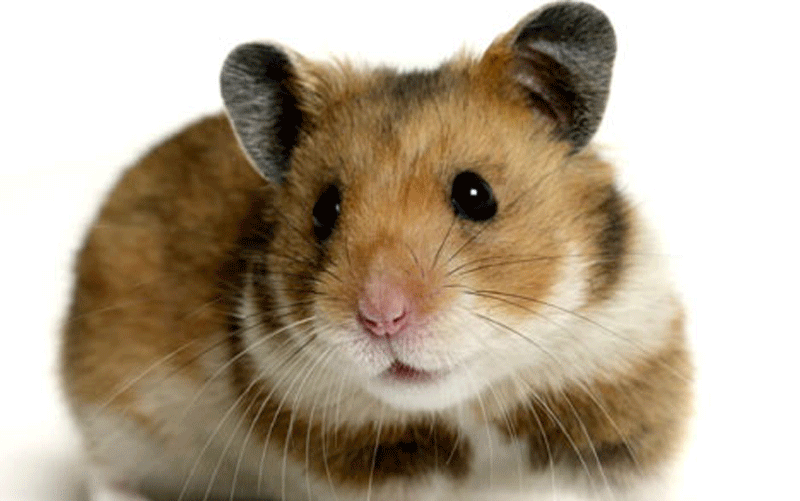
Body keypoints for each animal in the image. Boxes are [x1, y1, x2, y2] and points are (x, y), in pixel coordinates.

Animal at [61, 2, 692, 501]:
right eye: (325, 209)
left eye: (476, 194)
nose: (381, 318)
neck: (465, 405)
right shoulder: (364, 456)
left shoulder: (619, 418)